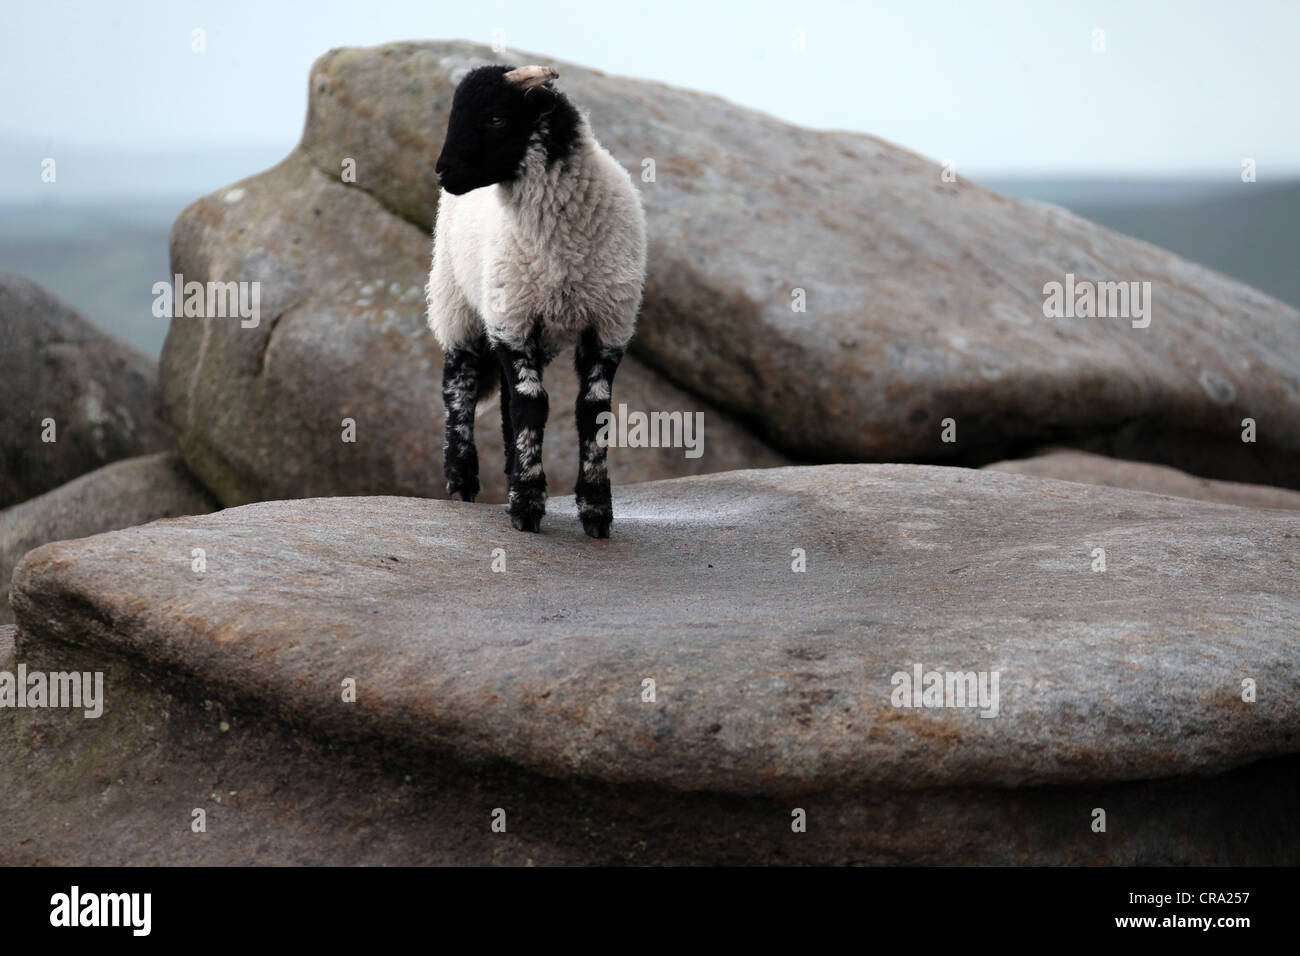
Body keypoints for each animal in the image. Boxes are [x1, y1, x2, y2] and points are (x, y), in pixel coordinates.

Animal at [426, 64, 647, 537]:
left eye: (495, 118)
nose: (442, 172)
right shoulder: (513, 319)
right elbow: (531, 406)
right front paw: (527, 503)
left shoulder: (608, 326)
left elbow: (592, 411)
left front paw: (596, 509)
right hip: (459, 303)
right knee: (459, 384)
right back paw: (462, 479)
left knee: (506, 400)